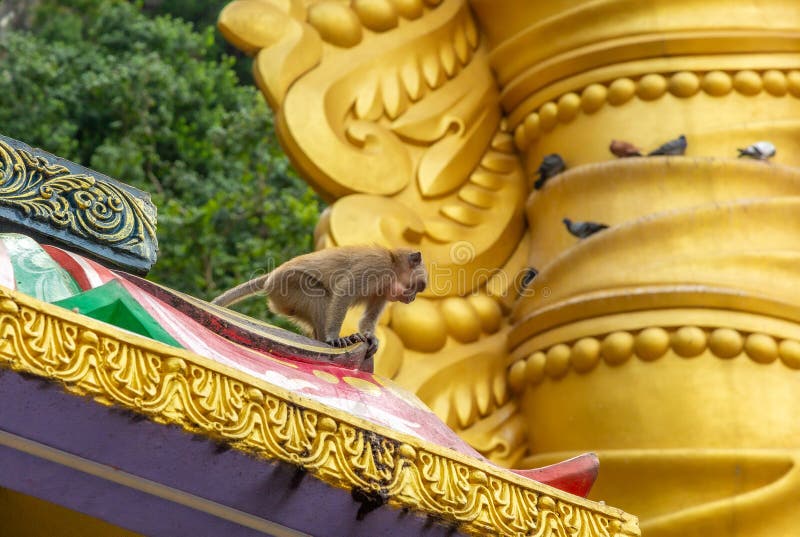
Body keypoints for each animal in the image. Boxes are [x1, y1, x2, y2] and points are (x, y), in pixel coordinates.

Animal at [211, 246, 427, 349]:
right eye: (418, 287)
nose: (412, 298)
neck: (393, 264)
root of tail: (273, 274)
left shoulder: (383, 291)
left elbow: (369, 317)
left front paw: (370, 337)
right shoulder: (376, 266)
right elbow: (344, 292)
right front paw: (333, 337)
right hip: (287, 285)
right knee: (319, 294)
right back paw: (326, 340)